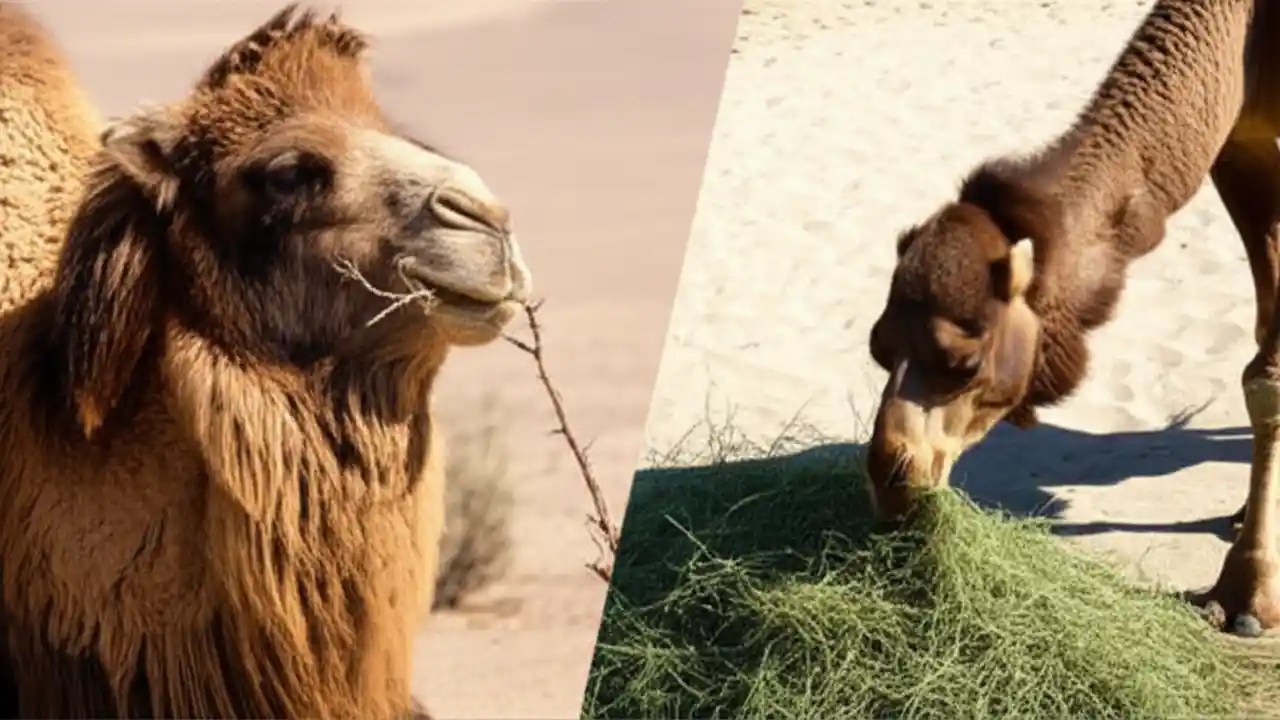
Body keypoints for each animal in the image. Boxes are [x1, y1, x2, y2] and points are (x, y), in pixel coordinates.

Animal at [864, 0, 1280, 637]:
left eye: (966, 363)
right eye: (877, 347)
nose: (889, 476)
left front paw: (1248, 596)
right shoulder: (1237, 140)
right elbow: (1262, 349)